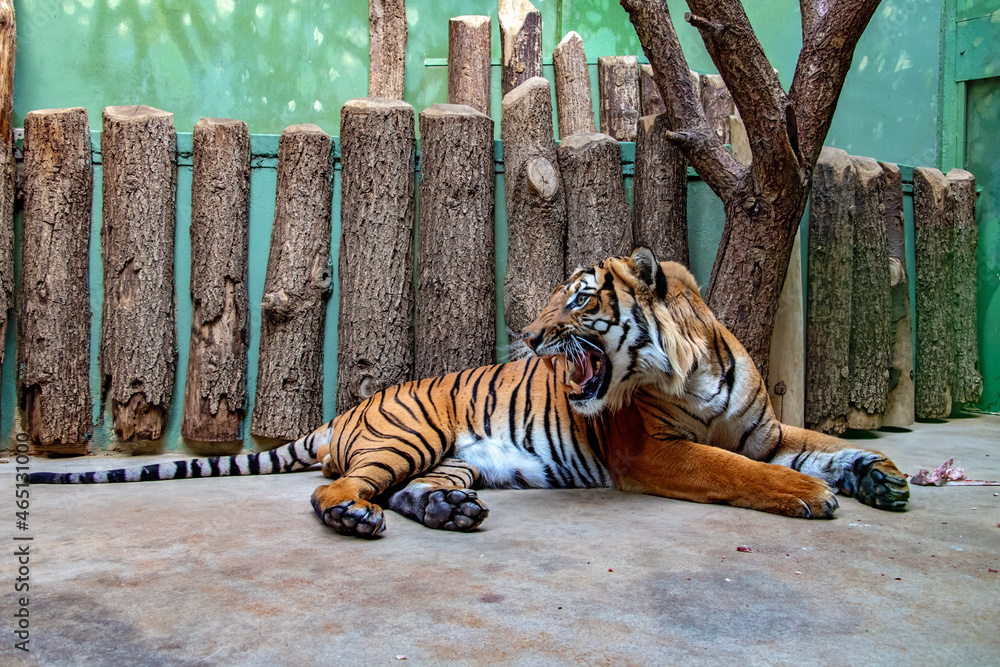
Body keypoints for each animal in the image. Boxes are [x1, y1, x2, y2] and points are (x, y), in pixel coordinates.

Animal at [28, 247, 909, 537]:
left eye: (579, 299)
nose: (530, 333)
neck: (688, 362)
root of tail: (344, 411)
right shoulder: (656, 453)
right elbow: (741, 472)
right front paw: (810, 495)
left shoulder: (767, 429)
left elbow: (823, 444)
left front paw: (884, 476)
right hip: (408, 434)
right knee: (335, 490)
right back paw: (355, 517)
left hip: (454, 458)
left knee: (406, 489)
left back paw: (446, 510)